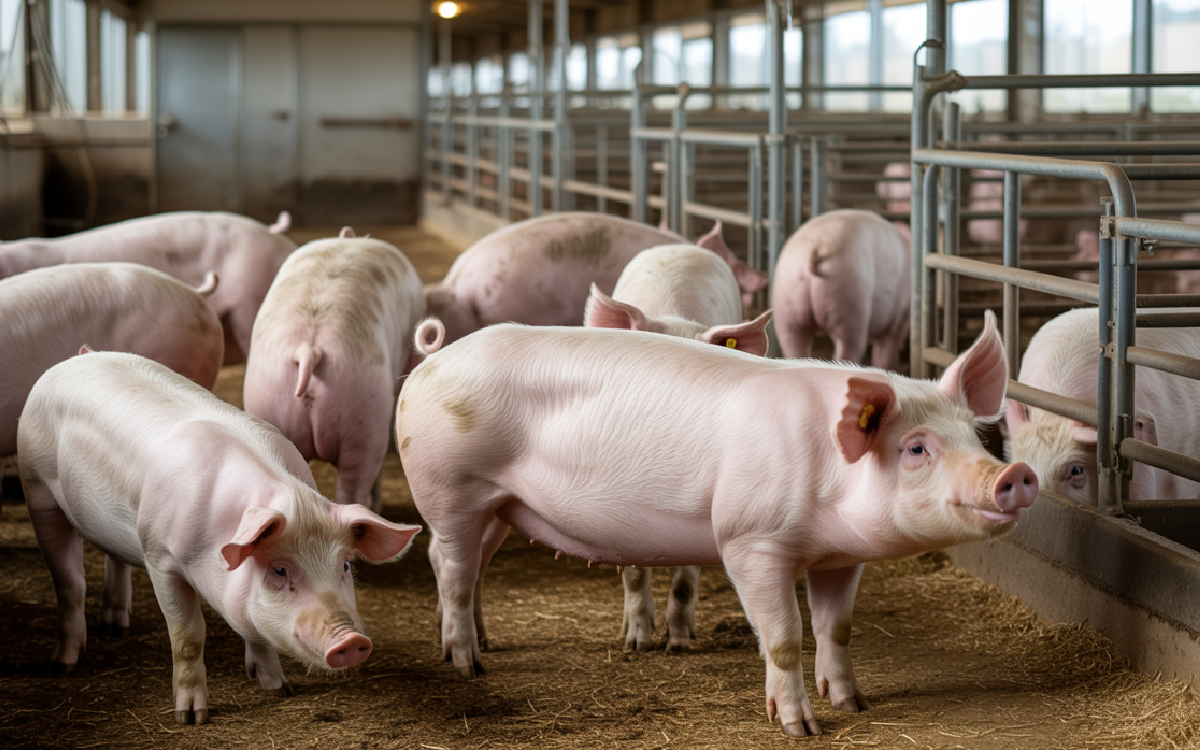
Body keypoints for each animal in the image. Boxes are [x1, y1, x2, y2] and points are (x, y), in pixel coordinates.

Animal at [18, 351, 421, 725]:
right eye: (279, 571)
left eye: (346, 566)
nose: (352, 640)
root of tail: (78, 357)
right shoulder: (160, 557)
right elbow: (188, 637)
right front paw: (192, 718)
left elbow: (255, 631)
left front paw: (280, 689)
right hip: (36, 487)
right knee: (70, 583)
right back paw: (63, 665)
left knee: (112, 558)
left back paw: (116, 627)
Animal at [396, 310, 1037, 736]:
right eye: (917, 448)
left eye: (974, 436)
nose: (1015, 473)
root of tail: (432, 361)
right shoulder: (750, 541)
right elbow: (785, 637)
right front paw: (801, 729)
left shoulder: (843, 556)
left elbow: (838, 628)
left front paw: (853, 705)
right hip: (451, 485)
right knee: (452, 568)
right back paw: (468, 664)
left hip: (499, 507)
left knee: (456, 563)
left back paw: (478, 644)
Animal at [771, 209, 910, 369]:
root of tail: (817, 246)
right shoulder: (902, 314)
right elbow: (886, 351)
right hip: (850, 300)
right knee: (847, 351)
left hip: (786, 303)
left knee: (794, 346)